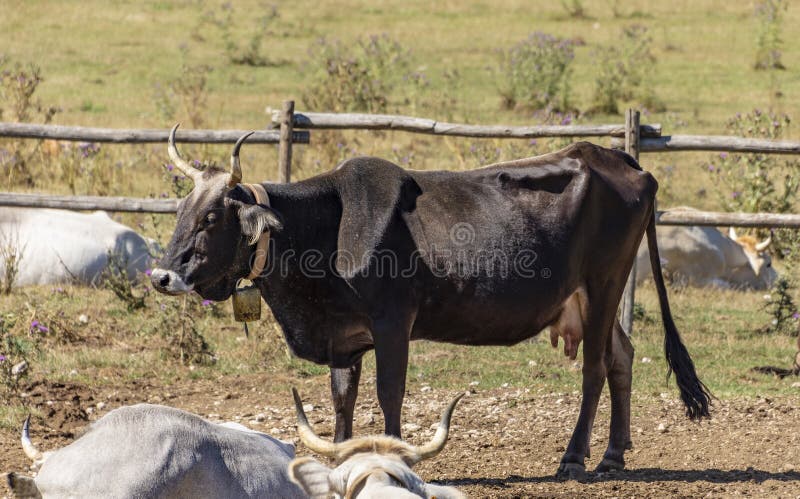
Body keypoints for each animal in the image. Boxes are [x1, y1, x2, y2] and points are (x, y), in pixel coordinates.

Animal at [150, 125, 711, 477]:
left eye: (211, 218)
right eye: (181, 211)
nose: (161, 275)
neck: (326, 228)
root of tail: (614, 156)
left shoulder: (393, 321)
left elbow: (389, 393)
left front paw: (393, 457)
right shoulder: (342, 335)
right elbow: (342, 397)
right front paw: (340, 458)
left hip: (604, 283)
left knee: (595, 367)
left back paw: (575, 458)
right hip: (594, 296)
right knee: (622, 357)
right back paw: (614, 454)